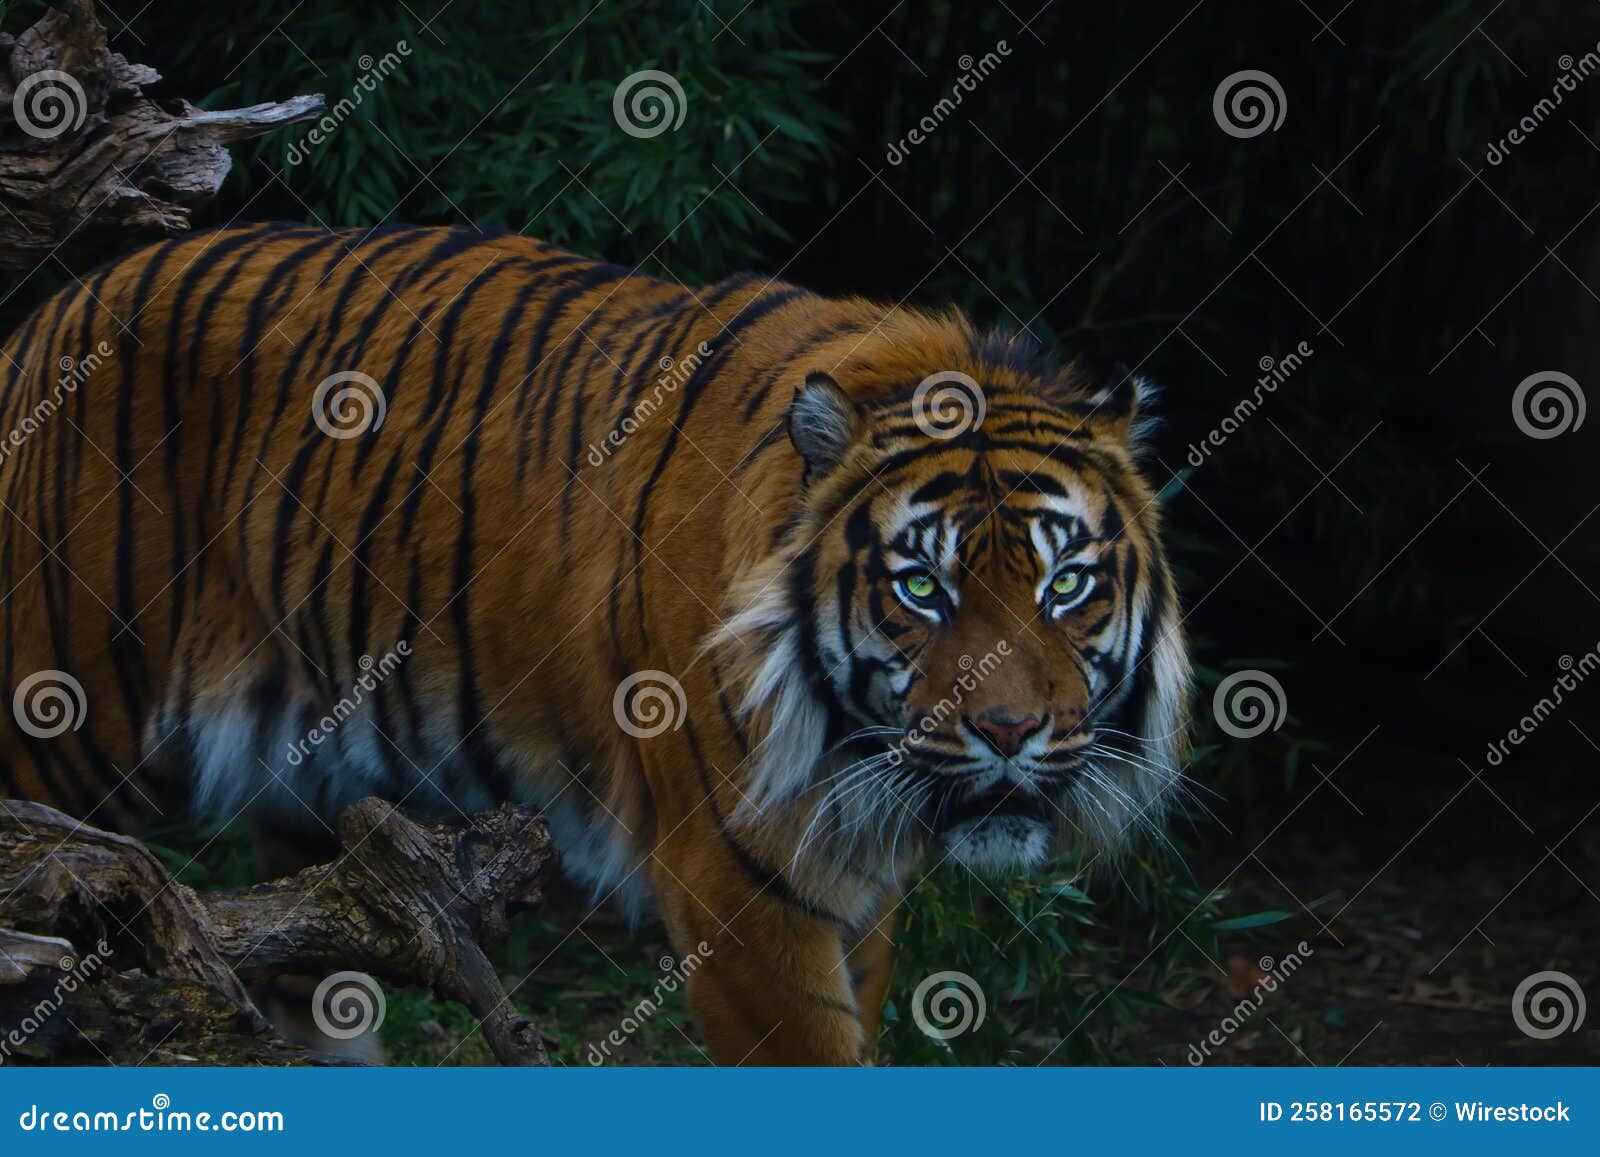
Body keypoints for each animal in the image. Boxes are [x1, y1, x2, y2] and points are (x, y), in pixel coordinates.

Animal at [0, 222, 1190, 1065]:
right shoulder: (738, 881)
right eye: (921, 588)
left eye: (1067, 585)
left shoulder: (858, 881)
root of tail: (44, 315)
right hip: (61, 717)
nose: (1009, 731)